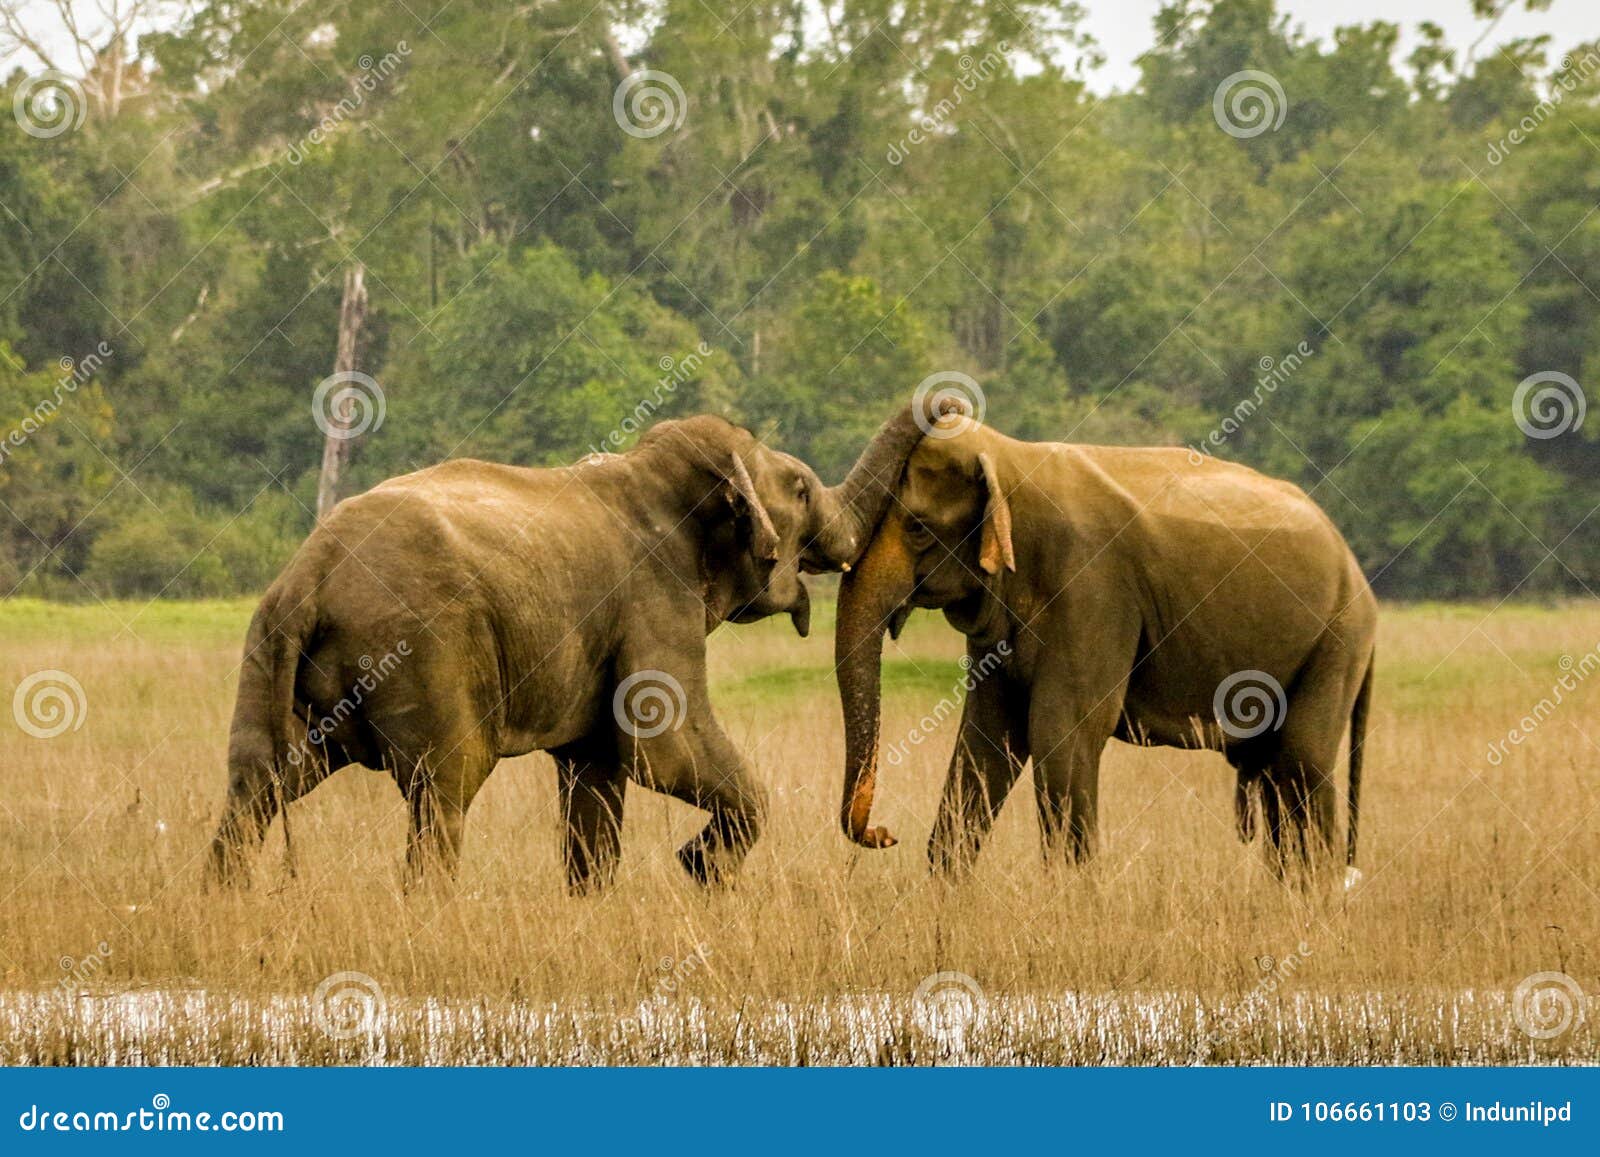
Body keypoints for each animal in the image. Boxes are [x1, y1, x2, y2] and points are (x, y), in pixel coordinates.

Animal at [209, 406, 933, 892]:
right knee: (445, 786)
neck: (654, 471)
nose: (887, 833)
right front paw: (700, 870)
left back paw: (229, 899)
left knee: (261, 782)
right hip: (425, 652)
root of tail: (310, 575)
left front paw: (602, 898)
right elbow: (662, 751)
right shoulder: (653, 603)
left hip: (267, 652)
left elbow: (597, 772)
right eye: (803, 490)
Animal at [833, 405, 1377, 880]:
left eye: (917, 527)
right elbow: (988, 735)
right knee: (1276, 771)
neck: (1010, 457)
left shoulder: (1094, 592)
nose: (883, 833)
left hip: (1338, 641)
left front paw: (1071, 900)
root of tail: (1353, 563)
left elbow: (1062, 733)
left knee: (1301, 761)